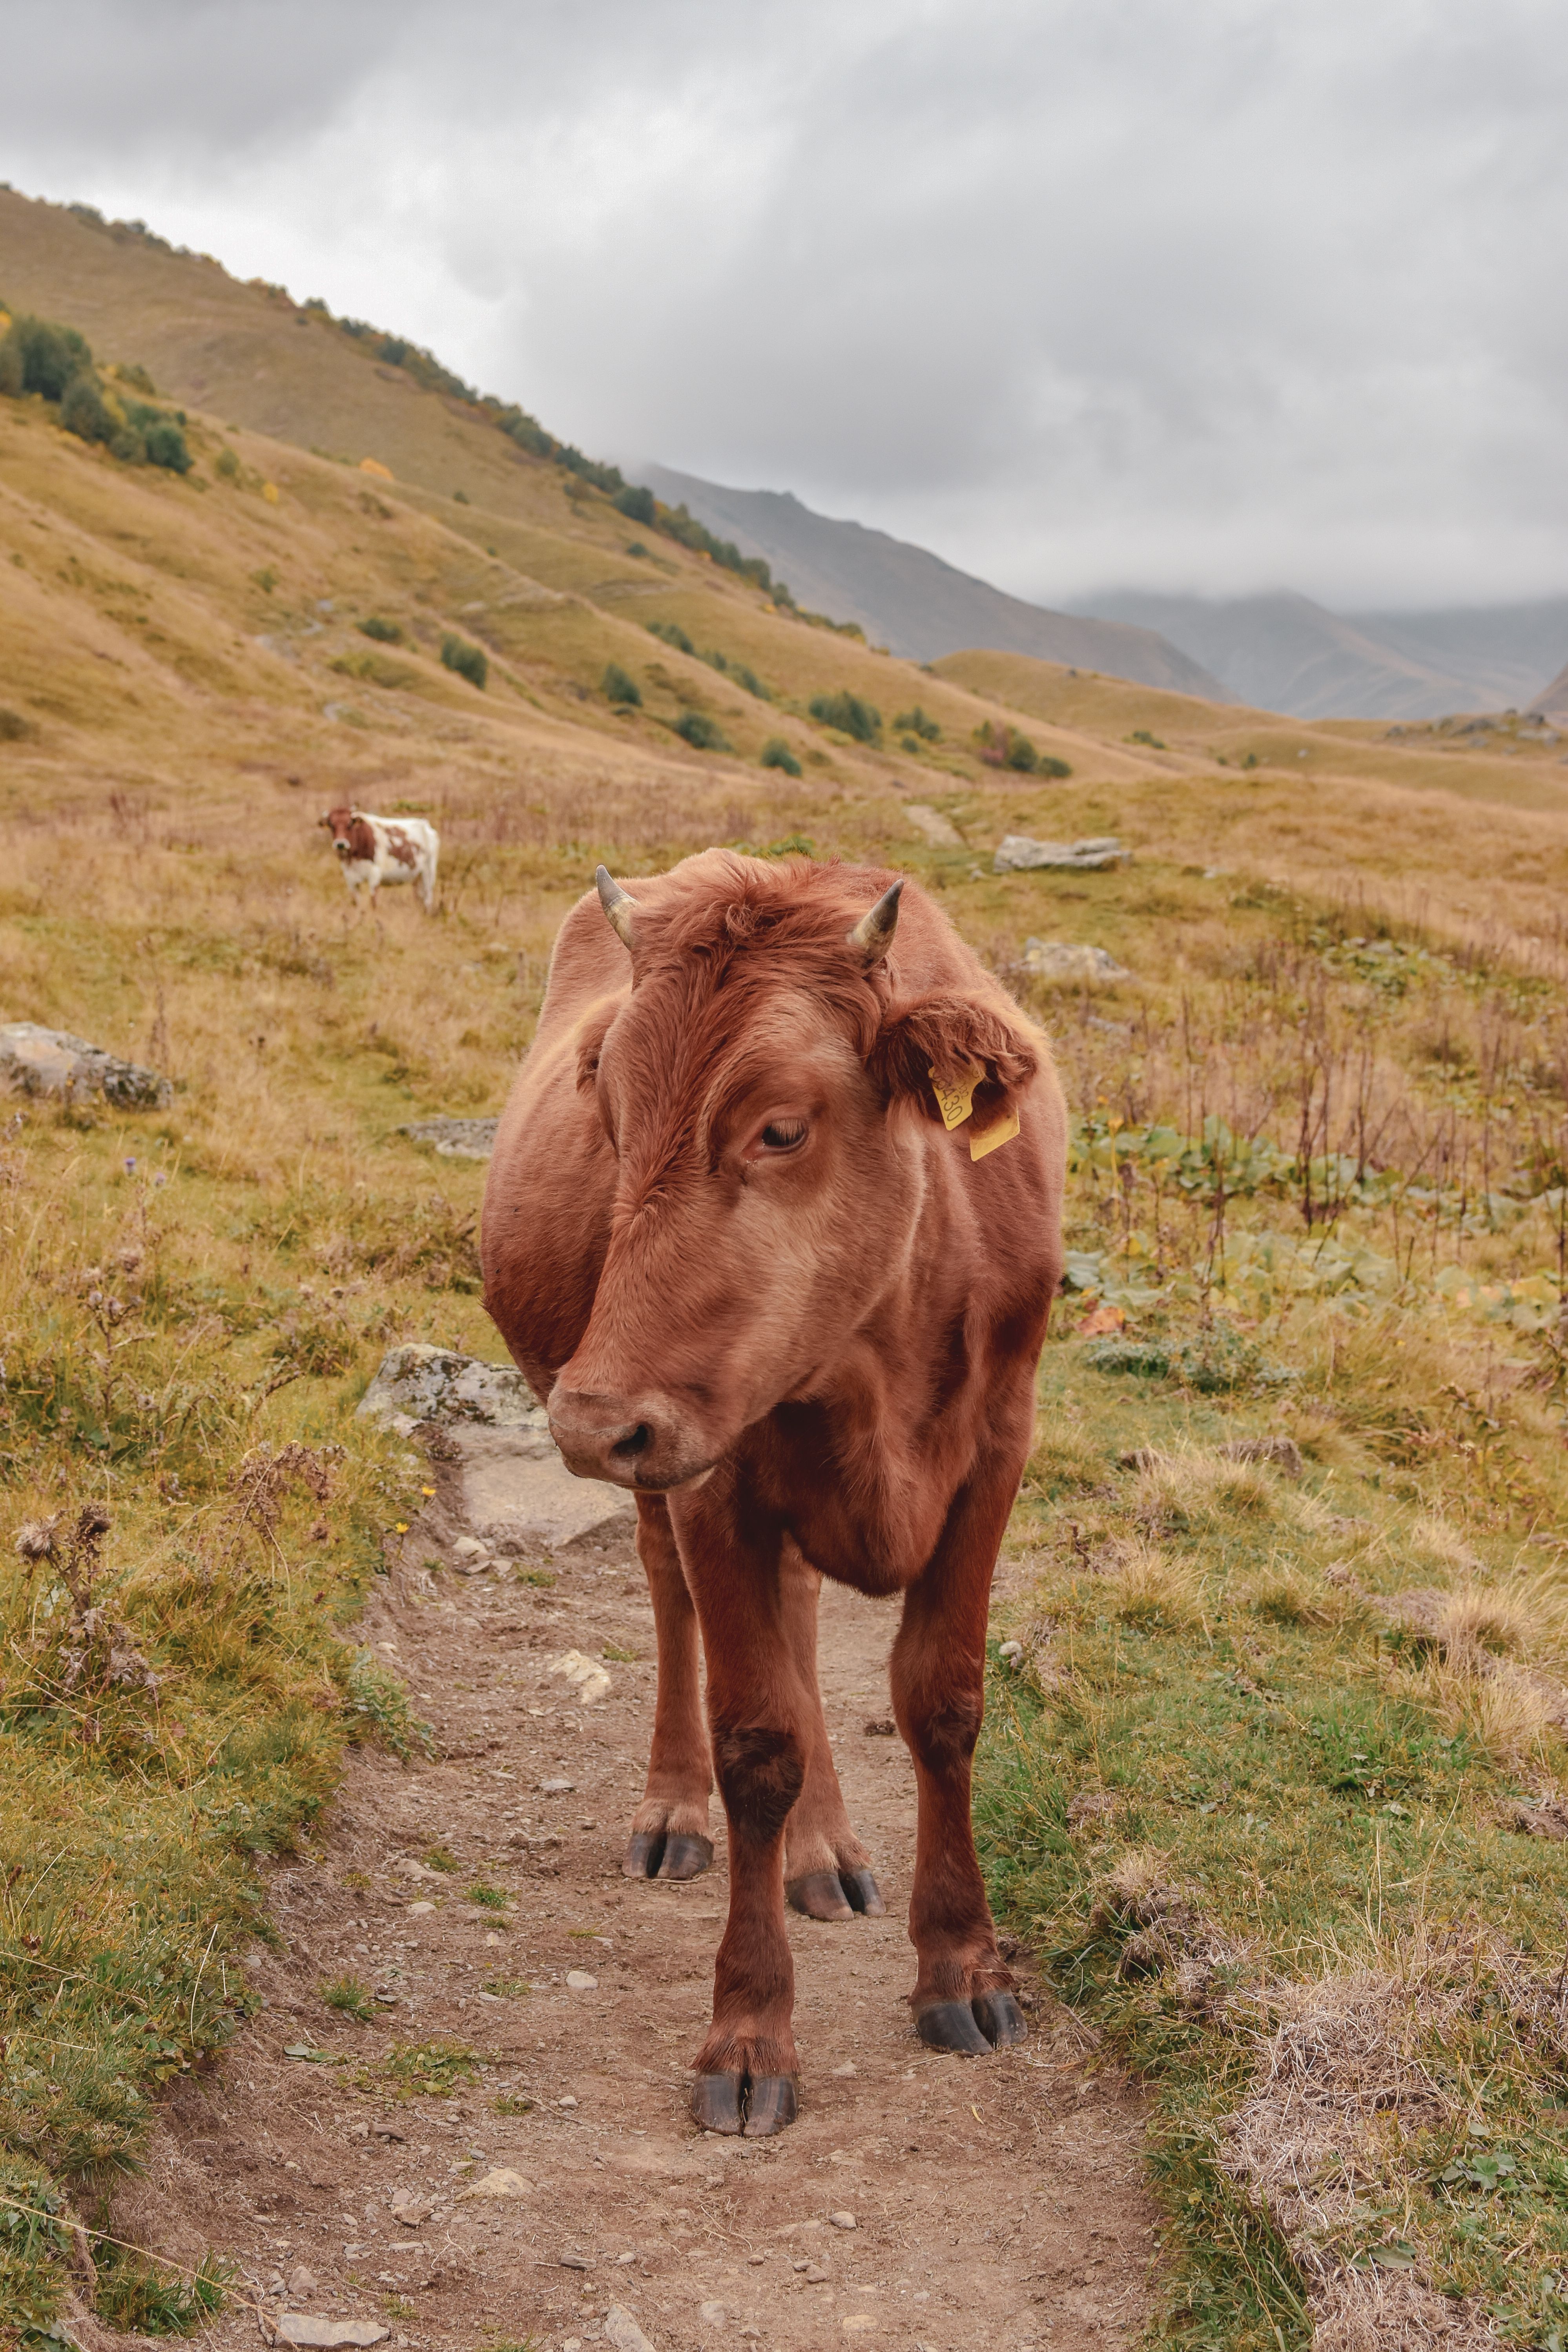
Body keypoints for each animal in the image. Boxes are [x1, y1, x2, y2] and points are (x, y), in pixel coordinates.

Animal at [318, 806, 439, 912]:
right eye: (331, 825)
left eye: (350, 824)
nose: (340, 844)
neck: (353, 859)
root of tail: (425, 824)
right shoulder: (350, 879)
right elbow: (356, 903)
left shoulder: (374, 875)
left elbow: (373, 902)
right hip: (416, 877)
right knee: (419, 897)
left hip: (428, 873)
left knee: (428, 898)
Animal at [480, 850, 1067, 2136]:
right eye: (612, 1120)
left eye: (781, 1127)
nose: (590, 1419)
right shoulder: (714, 1469)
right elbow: (758, 1737)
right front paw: (747, 2033)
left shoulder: (996, 1451)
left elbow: (942, 1701)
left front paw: (962, 1968)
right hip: (665, 1464)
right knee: (675, 1599)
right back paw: (675, 1813)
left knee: (799, 1619)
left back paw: (827, 1852)